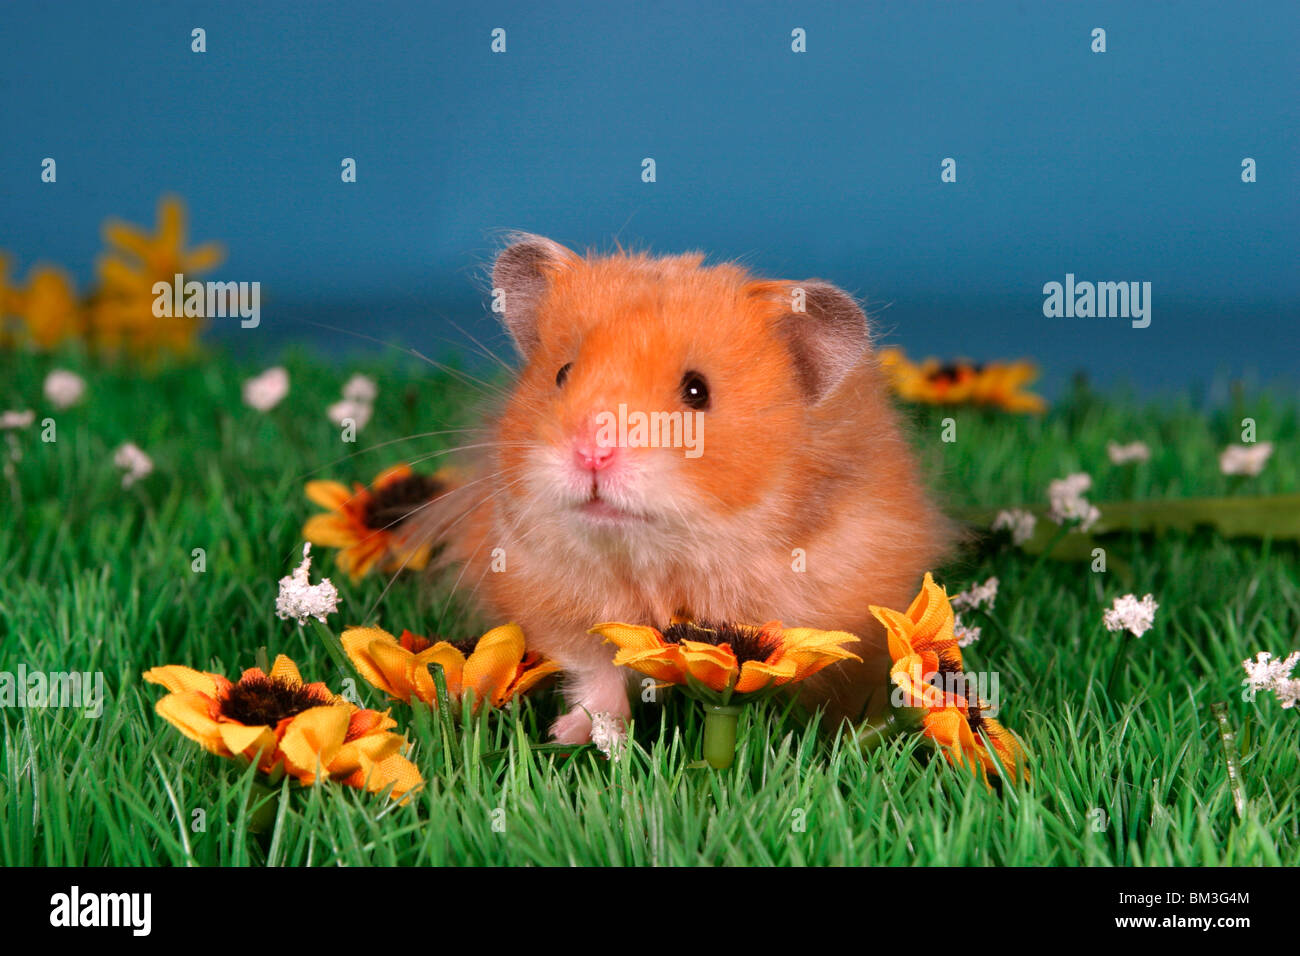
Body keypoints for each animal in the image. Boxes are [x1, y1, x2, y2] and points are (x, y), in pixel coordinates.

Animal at [420, 234, 953, 744]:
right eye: (561, 374)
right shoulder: (550, 599)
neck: (660, 557)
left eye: (697, 391)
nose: (592, 453)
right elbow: (595, 674)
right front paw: (580, 736)